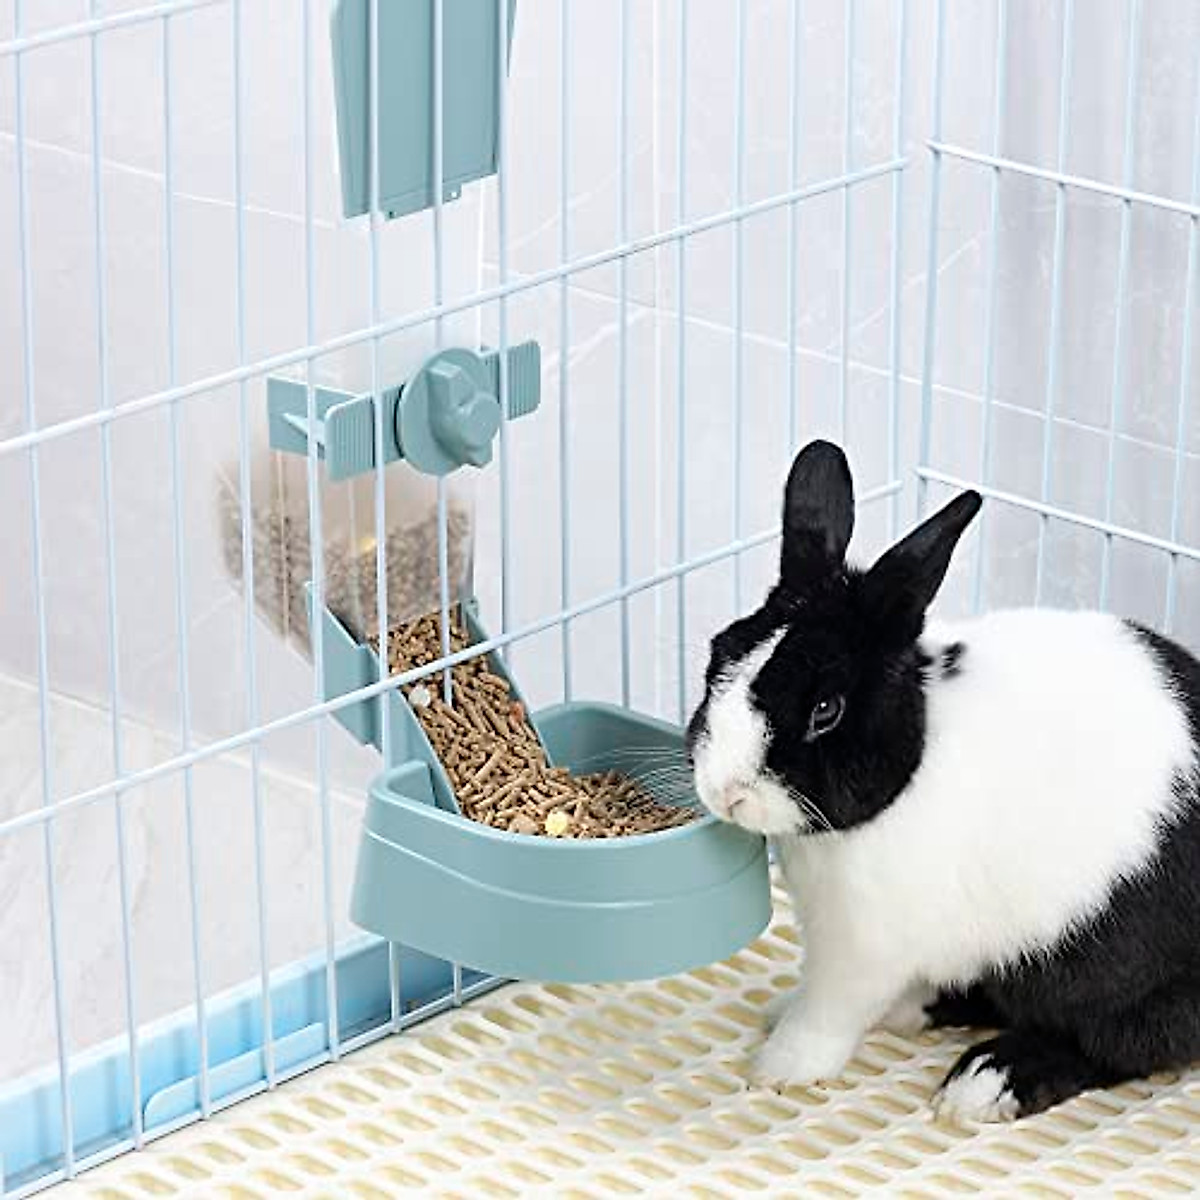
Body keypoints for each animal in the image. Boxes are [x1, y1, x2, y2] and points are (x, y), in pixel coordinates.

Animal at [685, 439, 1200, 1123]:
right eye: (721, 650)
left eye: (826, 709)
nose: (726, 791)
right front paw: (780, 1012)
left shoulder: (862, 949)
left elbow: (827, 1014)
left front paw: (778, 1069)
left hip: (1113, 975)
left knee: (1121, 1043)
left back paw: (986, 1081)